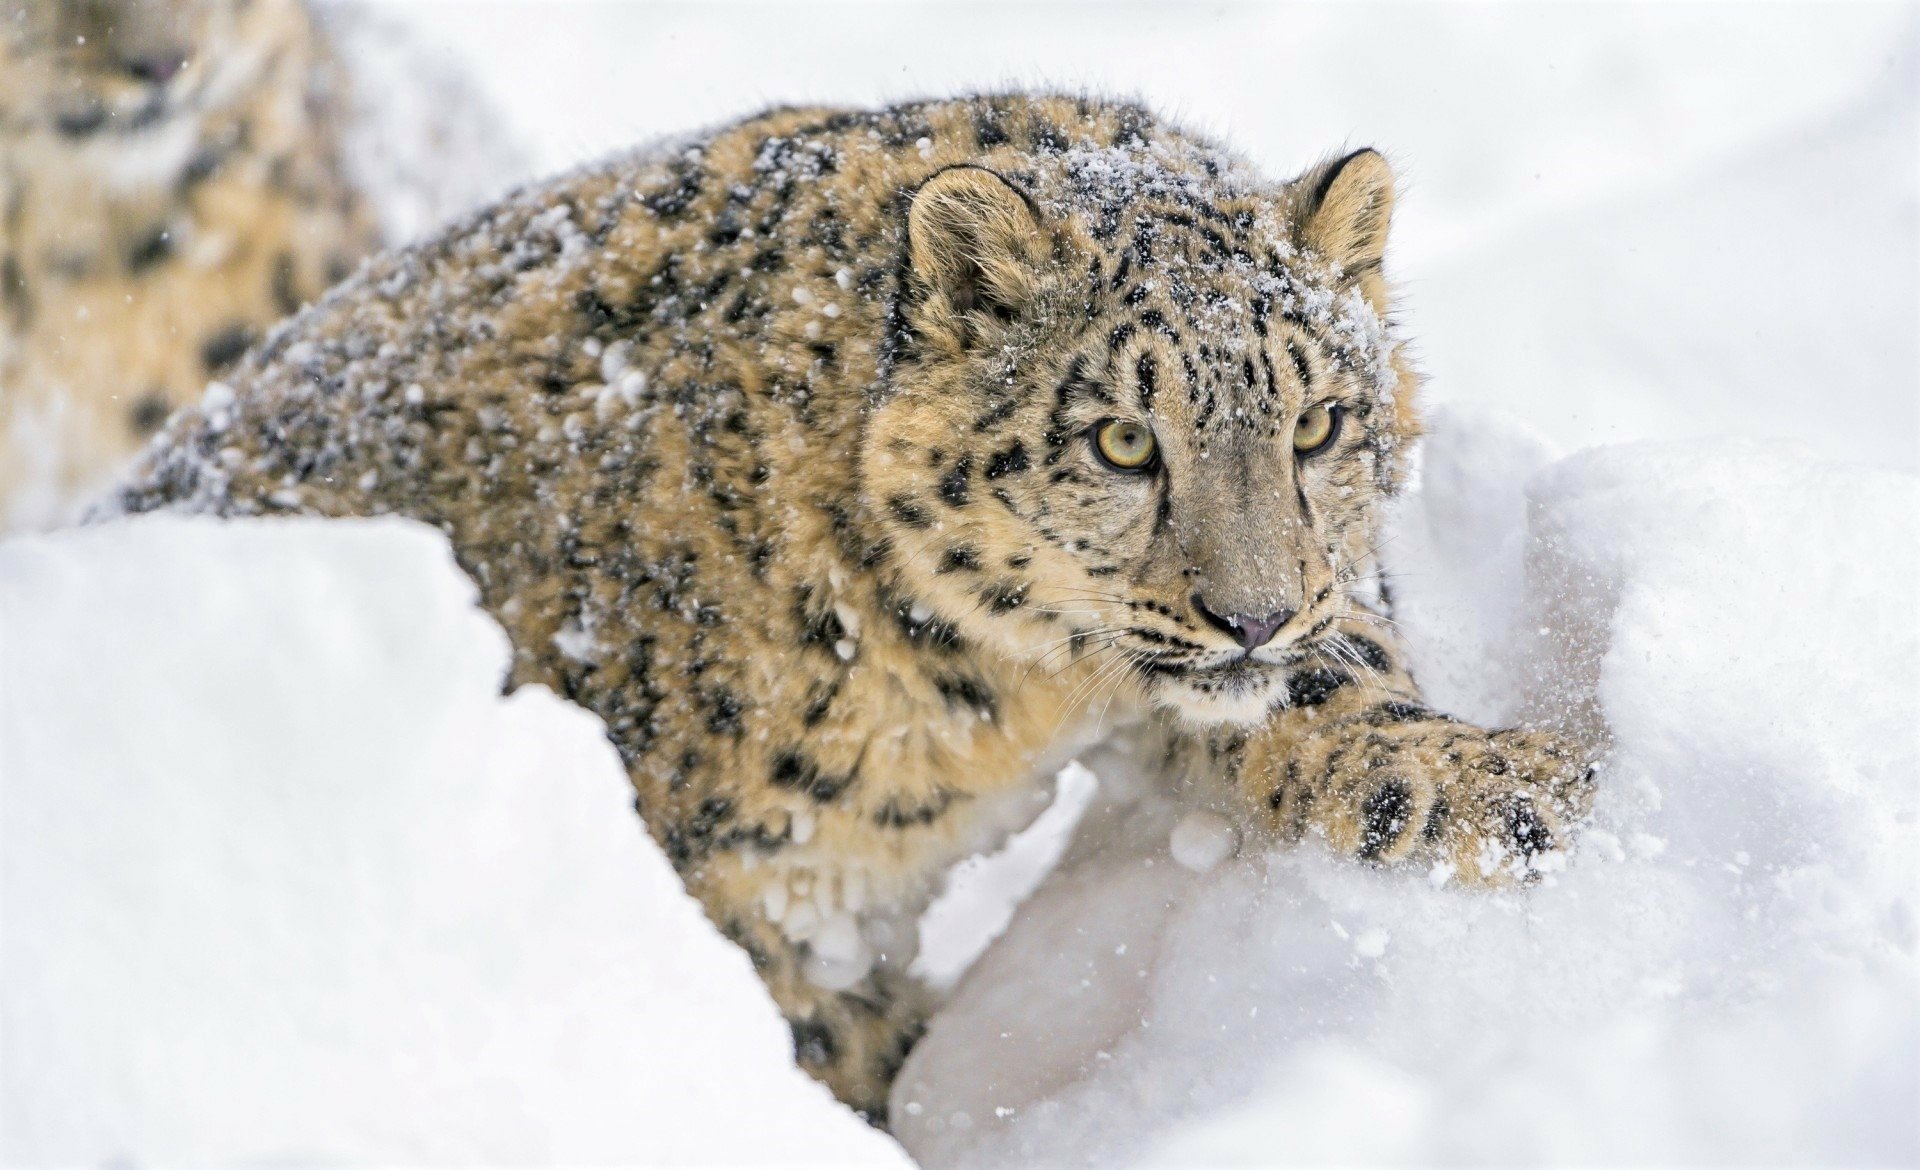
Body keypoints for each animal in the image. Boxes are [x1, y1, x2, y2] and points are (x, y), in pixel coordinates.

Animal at [112, 94, 1598, 1126]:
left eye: (1320, 422)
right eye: (1123, 441)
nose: (1254, 617)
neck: (1005, 698)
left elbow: (1355, 708)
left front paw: (1514, 788)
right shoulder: (765, 888)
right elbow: (831, 1043)